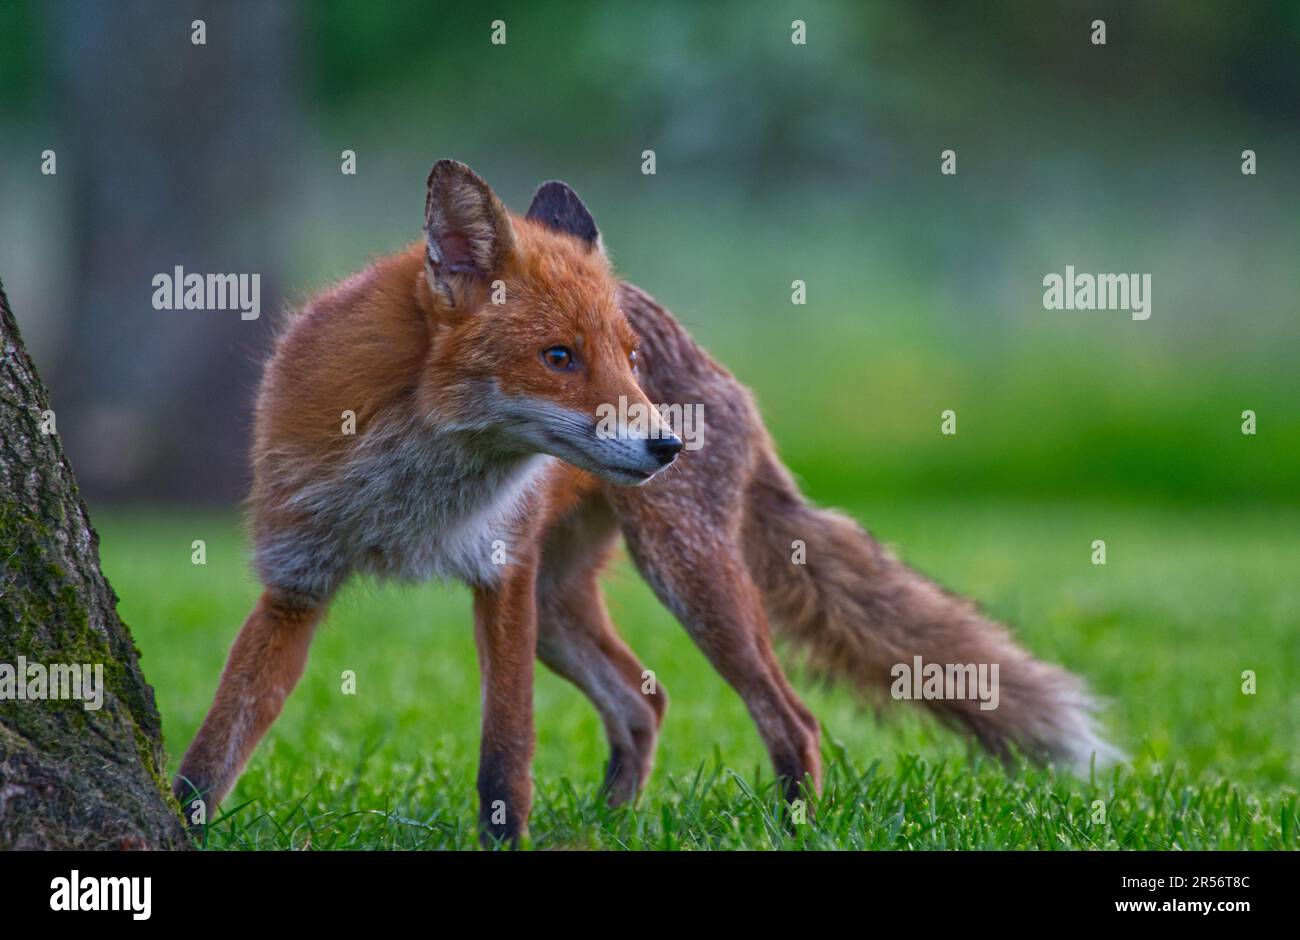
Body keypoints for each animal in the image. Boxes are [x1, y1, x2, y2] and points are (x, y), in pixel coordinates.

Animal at [173, 159, 1118, 845]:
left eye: (623, 358)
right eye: (558, 357)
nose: (667, 443)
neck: (417, 478)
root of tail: (713, 362)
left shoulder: (501, 575)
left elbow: (505, 756)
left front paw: (506, 839)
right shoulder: (298, 581)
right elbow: (217, 745)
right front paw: (181, 825)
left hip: (686, 578)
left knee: (795, 718)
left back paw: (792, 831)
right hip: (562, 606)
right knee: (642, 702)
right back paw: (610, 826)